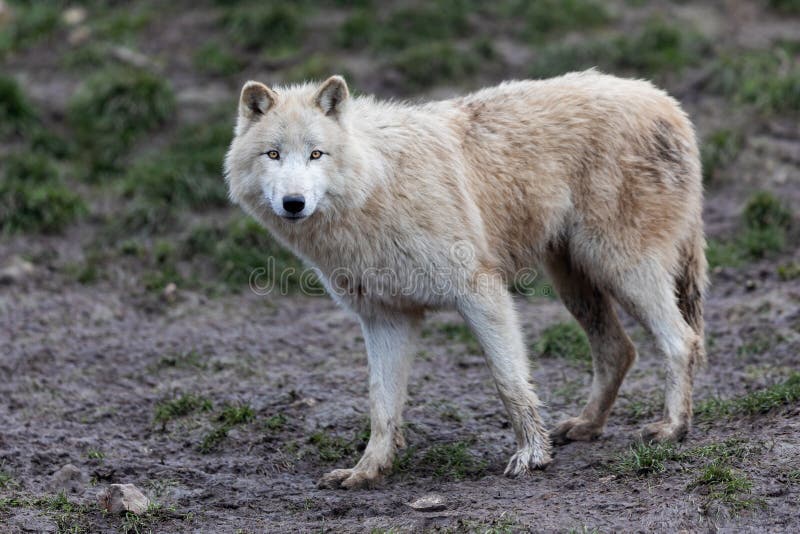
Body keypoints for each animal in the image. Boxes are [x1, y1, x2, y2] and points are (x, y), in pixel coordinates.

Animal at [224, 70, 707, 489]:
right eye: (273, 154)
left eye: (316, 154)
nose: (293, 202)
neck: (377, 185)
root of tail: (666, 102)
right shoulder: (385, 318)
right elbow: (381, 406)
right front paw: (368, 470)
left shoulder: (481, 292)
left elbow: (509, 382)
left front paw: (532, 456)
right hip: (575, 281)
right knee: (619, 350)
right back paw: (587, 425)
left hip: (621, 268)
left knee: (682, 340)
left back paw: (672, 429)